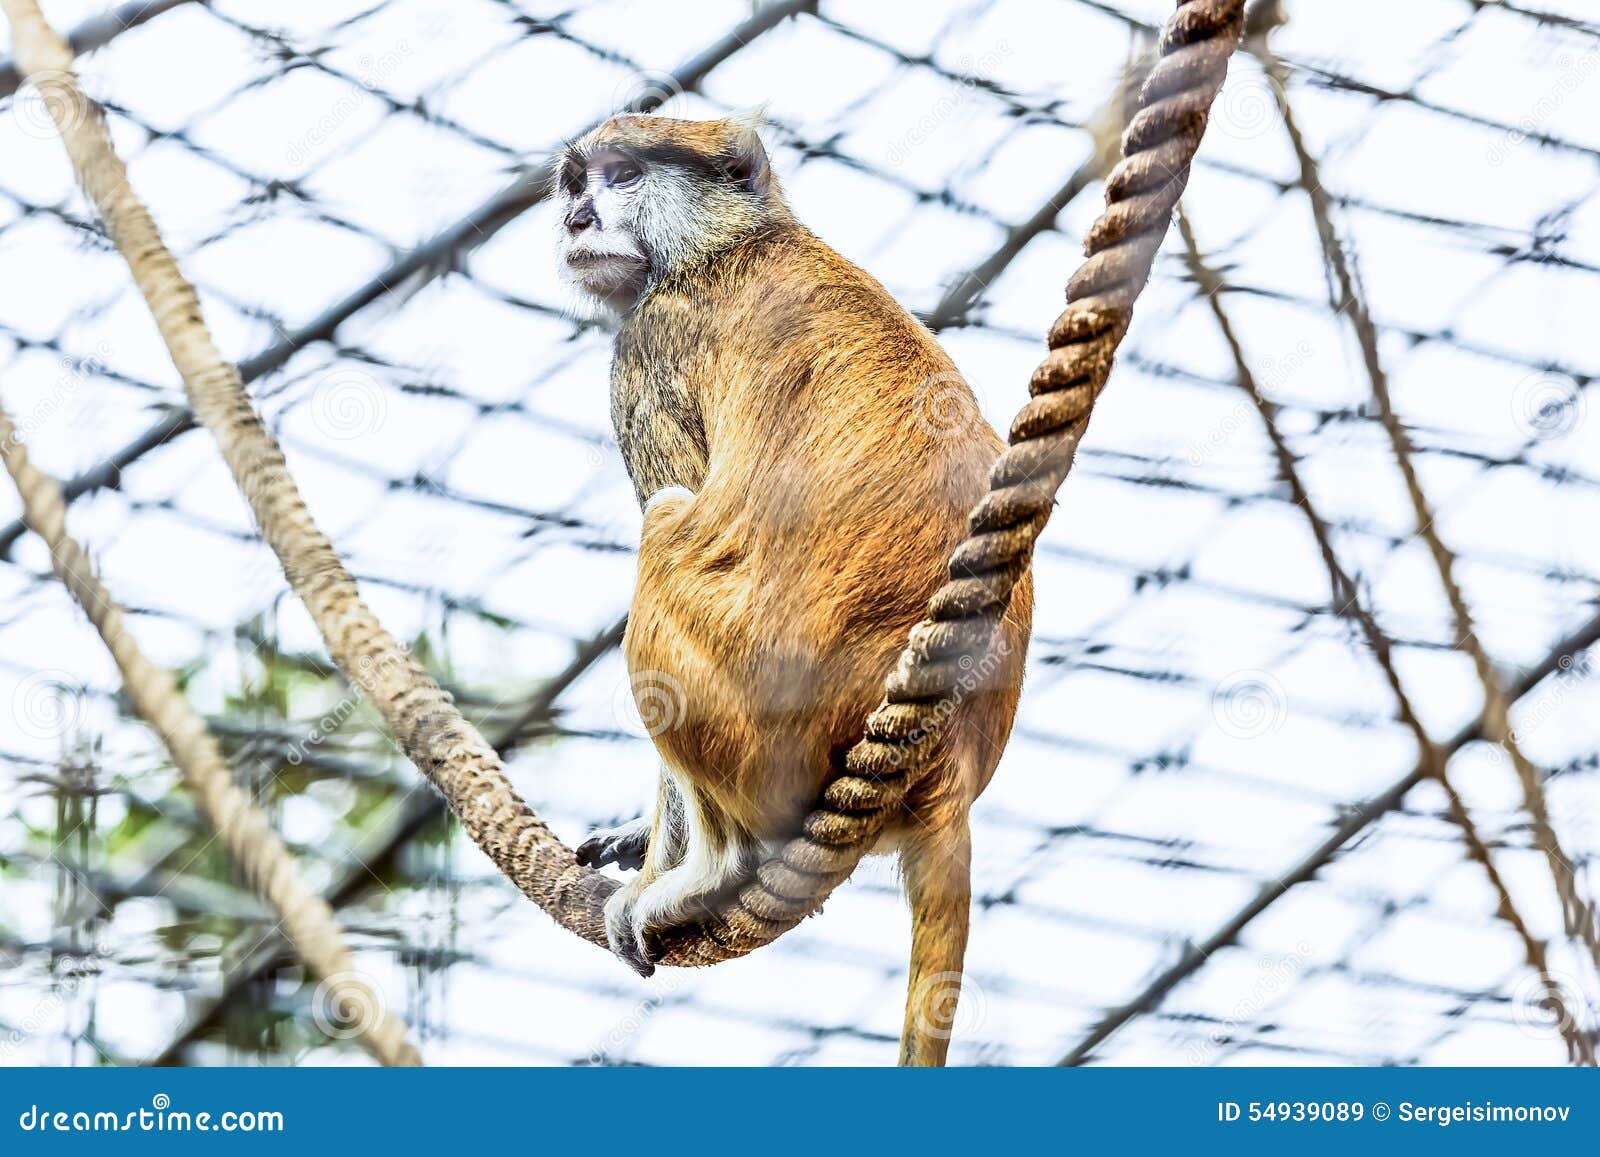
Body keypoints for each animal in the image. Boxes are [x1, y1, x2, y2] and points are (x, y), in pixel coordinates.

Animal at [556, 113, 1032, 1066]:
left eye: (623, 176)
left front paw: (656, 868)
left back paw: (713, 874)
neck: (731, 240)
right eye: (576, 183)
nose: (580, 219)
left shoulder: (649, 350)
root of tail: (947, 760)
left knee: (666, 522)